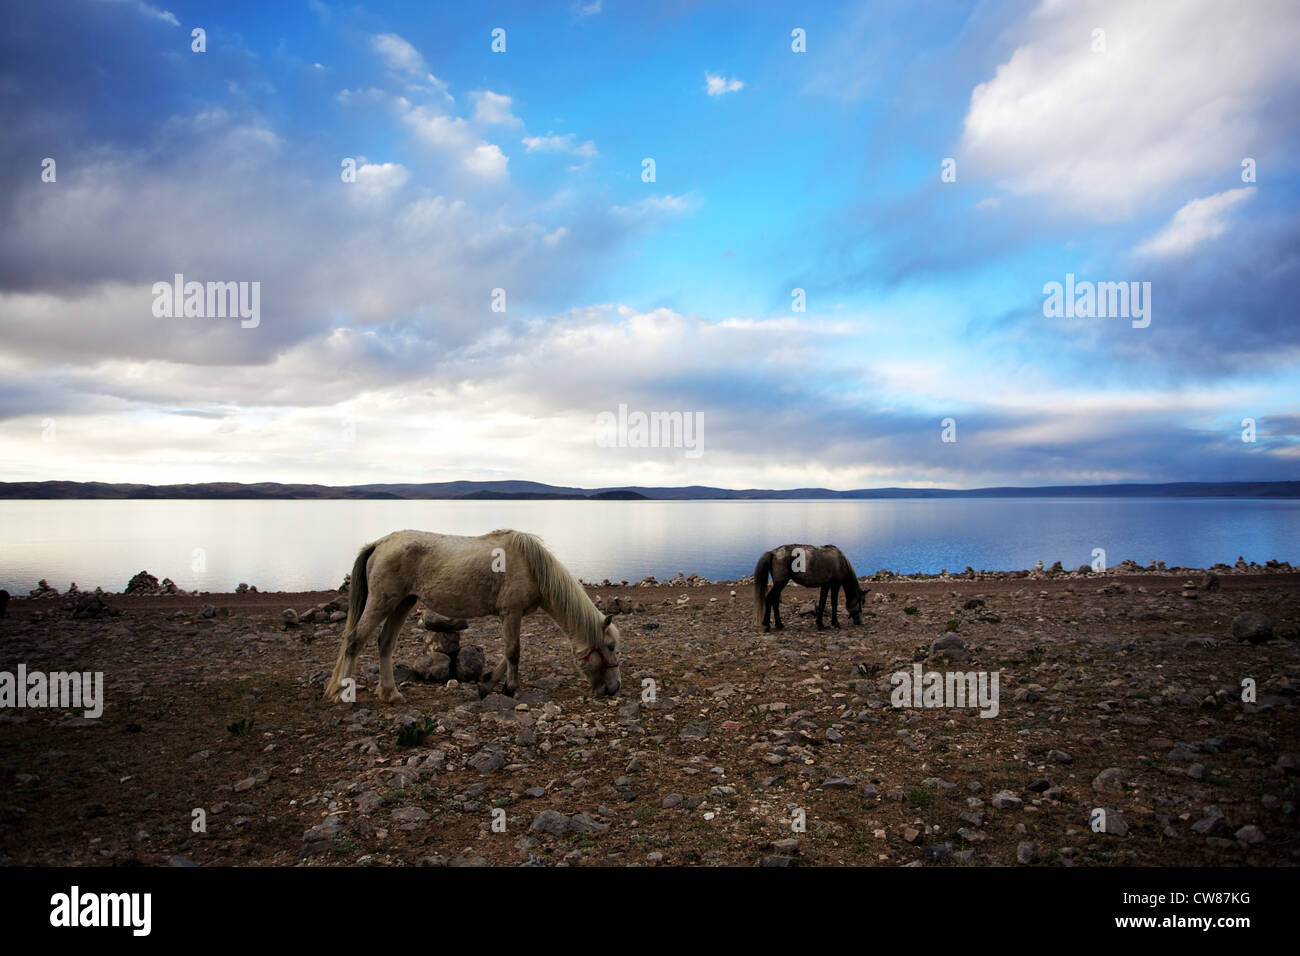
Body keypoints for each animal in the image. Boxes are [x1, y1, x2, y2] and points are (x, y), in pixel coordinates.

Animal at [322, 529, 622, 703]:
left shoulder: (510, 616)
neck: (532, 566)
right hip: (383, 602)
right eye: (609, 647)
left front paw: (487, 685)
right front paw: (511, 688)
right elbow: (514, 652)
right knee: (354, 641)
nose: (615, 688)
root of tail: (379, 543)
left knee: (384, 644)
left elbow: (507, 653)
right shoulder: (511, 612)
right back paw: (341, 694)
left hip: (403, 603)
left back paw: (391, 693)